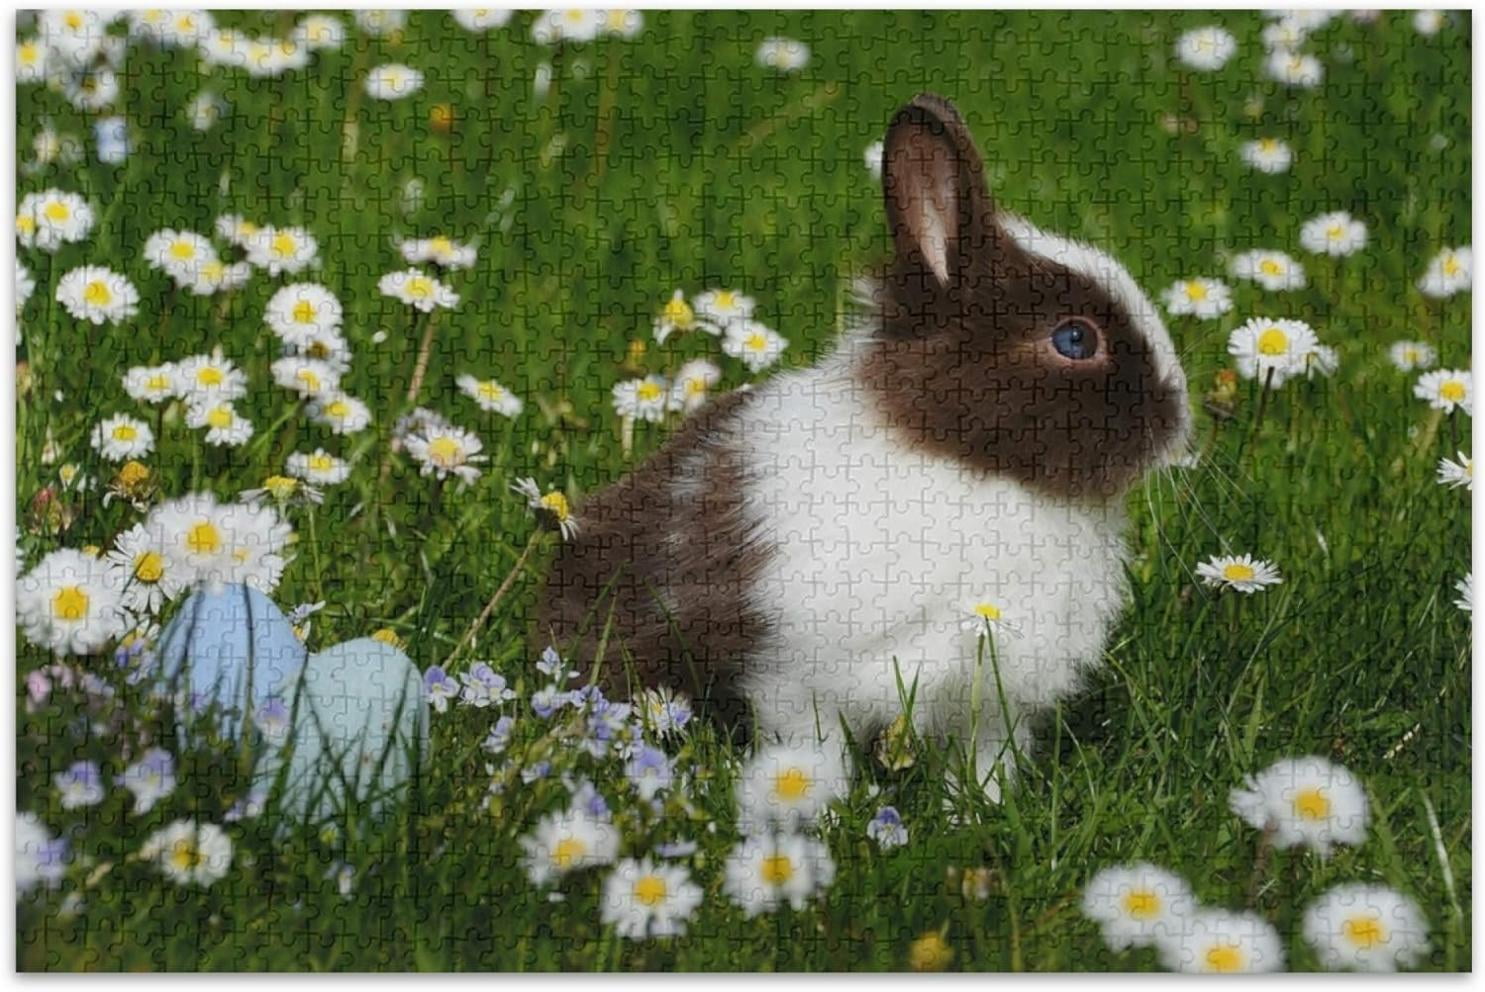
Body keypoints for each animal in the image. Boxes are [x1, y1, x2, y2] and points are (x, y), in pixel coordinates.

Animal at [539, 93, 1190, 799]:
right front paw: (817, 809)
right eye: (1075, 339)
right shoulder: (796, 678)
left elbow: (984, 764)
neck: (968, 465)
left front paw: (976, 811)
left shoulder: (995, 702)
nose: (1179, 418)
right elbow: (811, 755)